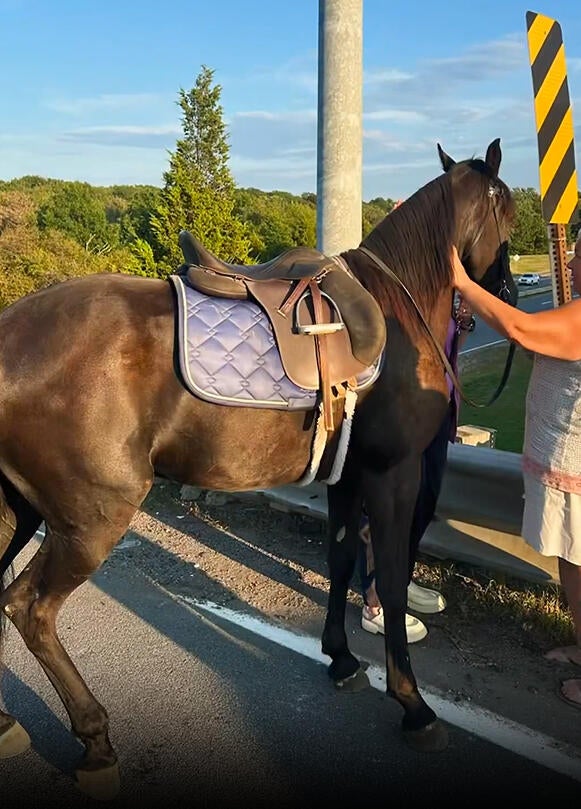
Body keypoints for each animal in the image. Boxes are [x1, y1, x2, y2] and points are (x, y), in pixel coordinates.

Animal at [0, 138, 516, 799]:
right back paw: (95, 741)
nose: (507, 289)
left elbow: (341, 559)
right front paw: (413, 704)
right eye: (506, 211)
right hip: (89, 518)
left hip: (17, 509)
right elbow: (395, 577)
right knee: (30, 609)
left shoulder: (347, 477)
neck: (395, 315)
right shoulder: (393, 475)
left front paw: (340, 658)